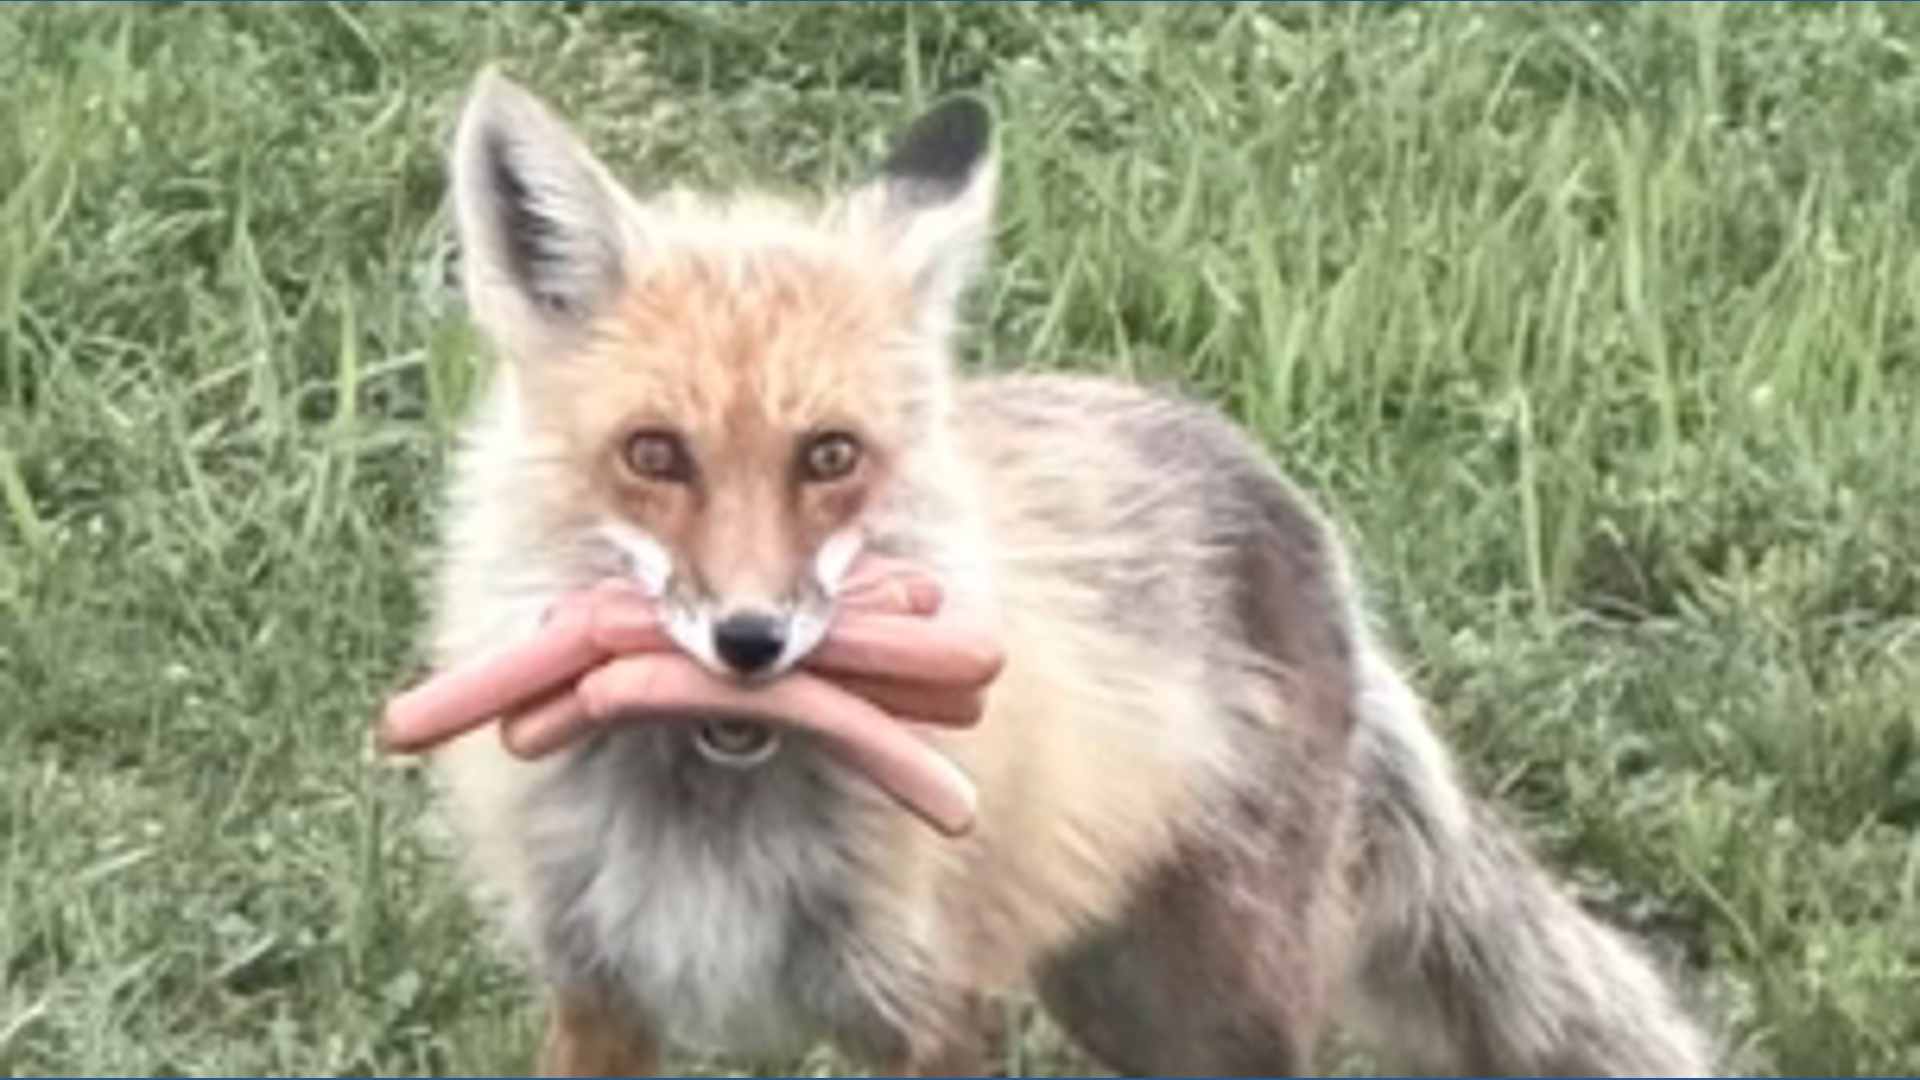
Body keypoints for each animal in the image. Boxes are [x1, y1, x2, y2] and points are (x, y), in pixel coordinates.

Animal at [415, 68, 1718, 1078]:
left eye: (831, 457)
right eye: (654, 456)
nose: (749, 642)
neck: (710, 811)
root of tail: (1266, 480)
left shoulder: (933, 1007)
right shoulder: (599, 990)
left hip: (1215, 1000)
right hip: (1111, 987)